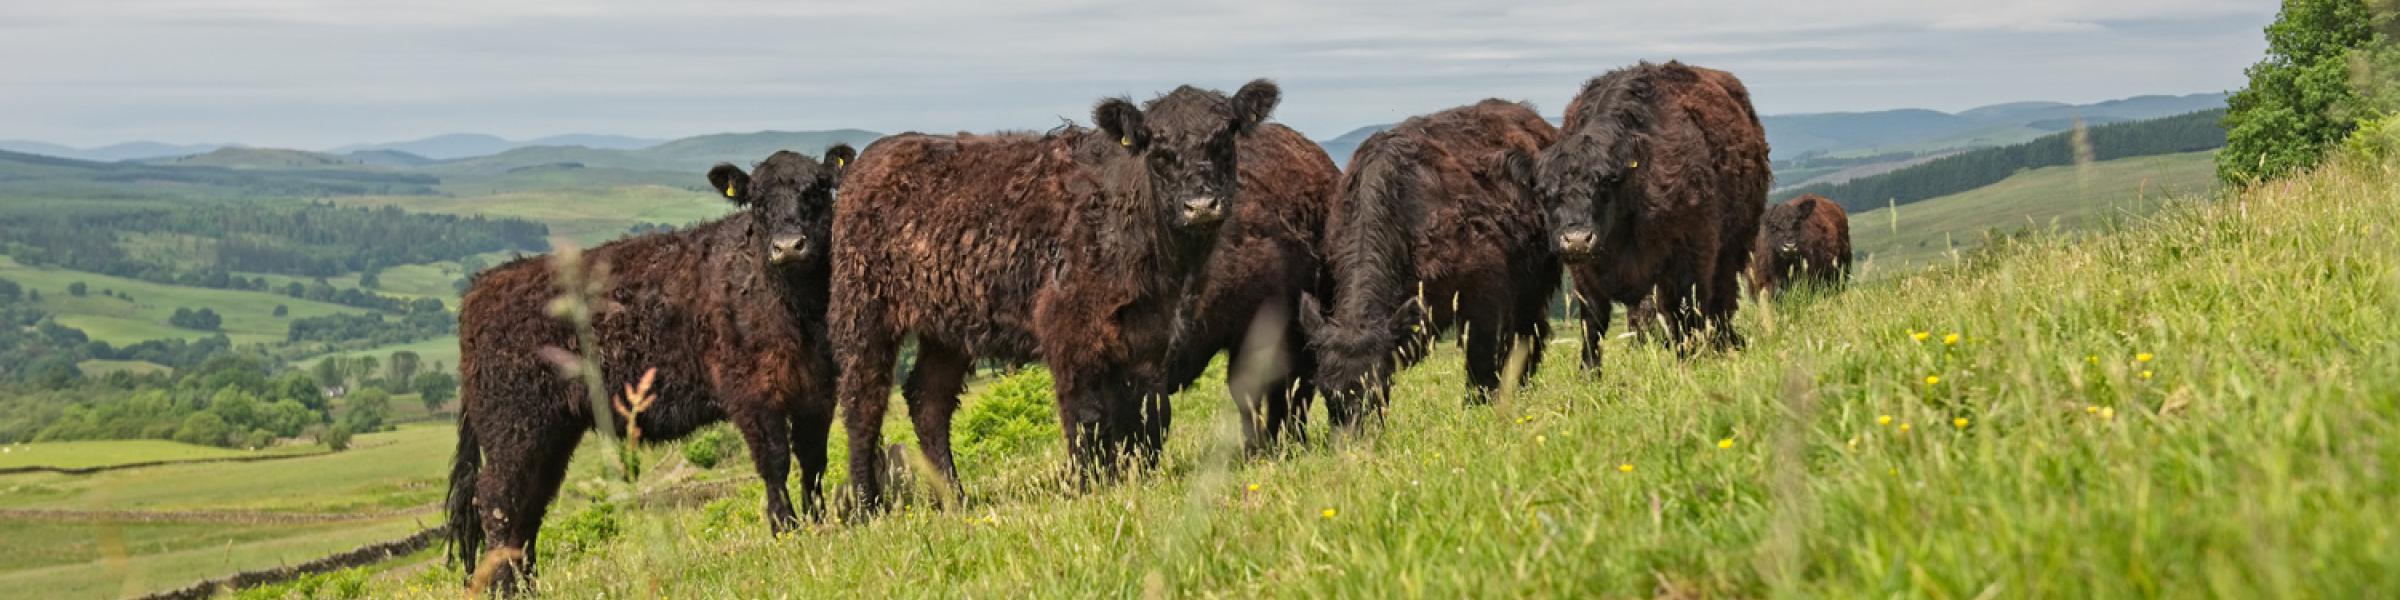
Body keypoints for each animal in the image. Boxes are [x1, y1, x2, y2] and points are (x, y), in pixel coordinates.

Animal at [445, 145, 853, 593]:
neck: (795, 307)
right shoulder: (752, 395)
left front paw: (818, 526)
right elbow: (775, 463)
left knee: (530, 502)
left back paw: (527, 585)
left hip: (551, 432)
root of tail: (483, 285)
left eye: (817, 190)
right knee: (497, 499)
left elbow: (813, 461)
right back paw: (504, 585)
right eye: (757, 201)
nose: (788, 246)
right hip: (513, 425)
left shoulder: (818, 390)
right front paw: (786, 533)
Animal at [830, 81, 1281, 511]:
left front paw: (1136, 479)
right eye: (1156, 146)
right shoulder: (1067, 330)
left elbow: (1146, 414)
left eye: (1226, 134)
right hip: (863, 311)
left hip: (946, 327)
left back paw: (954, 499)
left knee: (928, 399)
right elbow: (1086, 416)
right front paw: (1091, 487)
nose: (1201, 204)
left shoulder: (1150, 333)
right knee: (863, 403)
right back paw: (868, 505)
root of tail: (877, 154)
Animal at [1298, 99, 1562, 425]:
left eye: (1377, 387)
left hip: (1533, 289)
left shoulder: (1487, 295)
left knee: (1528, 337)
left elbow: (1483, 359)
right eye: (1325, 394)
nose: (1353, 438)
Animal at [1523, 61, 1771, 374]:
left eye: (1605, 184)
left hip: (1733, 245)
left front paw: (1690, 362)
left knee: (1719, 296)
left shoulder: (1690, 250)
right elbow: (1593, 321)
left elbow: (1686, 308)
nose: (1577, 240)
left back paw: (1724, 341)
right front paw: (1589, 373)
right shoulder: (1585, 273)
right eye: (1543, 193)